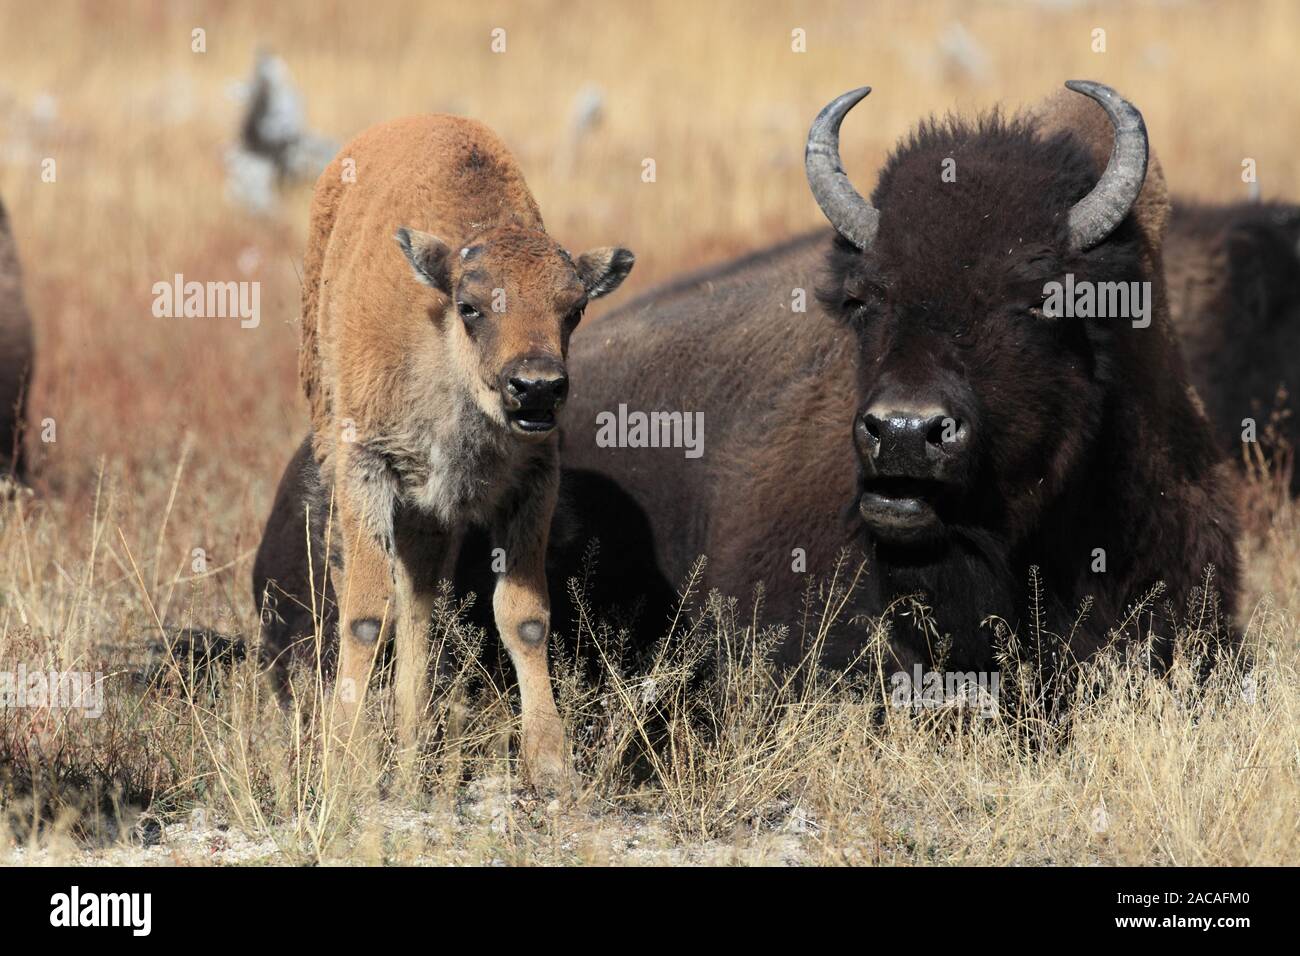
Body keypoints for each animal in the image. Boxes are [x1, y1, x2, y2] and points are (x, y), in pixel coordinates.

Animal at [259, 114, 634, 789]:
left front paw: (552, 765)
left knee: (420, 602)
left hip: (426, 515)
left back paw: (413, 747)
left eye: (574, 309)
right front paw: (348, 762)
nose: (537, 388)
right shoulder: (366, 469)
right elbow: (364, 614)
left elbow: (524, 615)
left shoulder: (533, 481)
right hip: (336, 450)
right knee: (369, 590)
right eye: (471, 307)